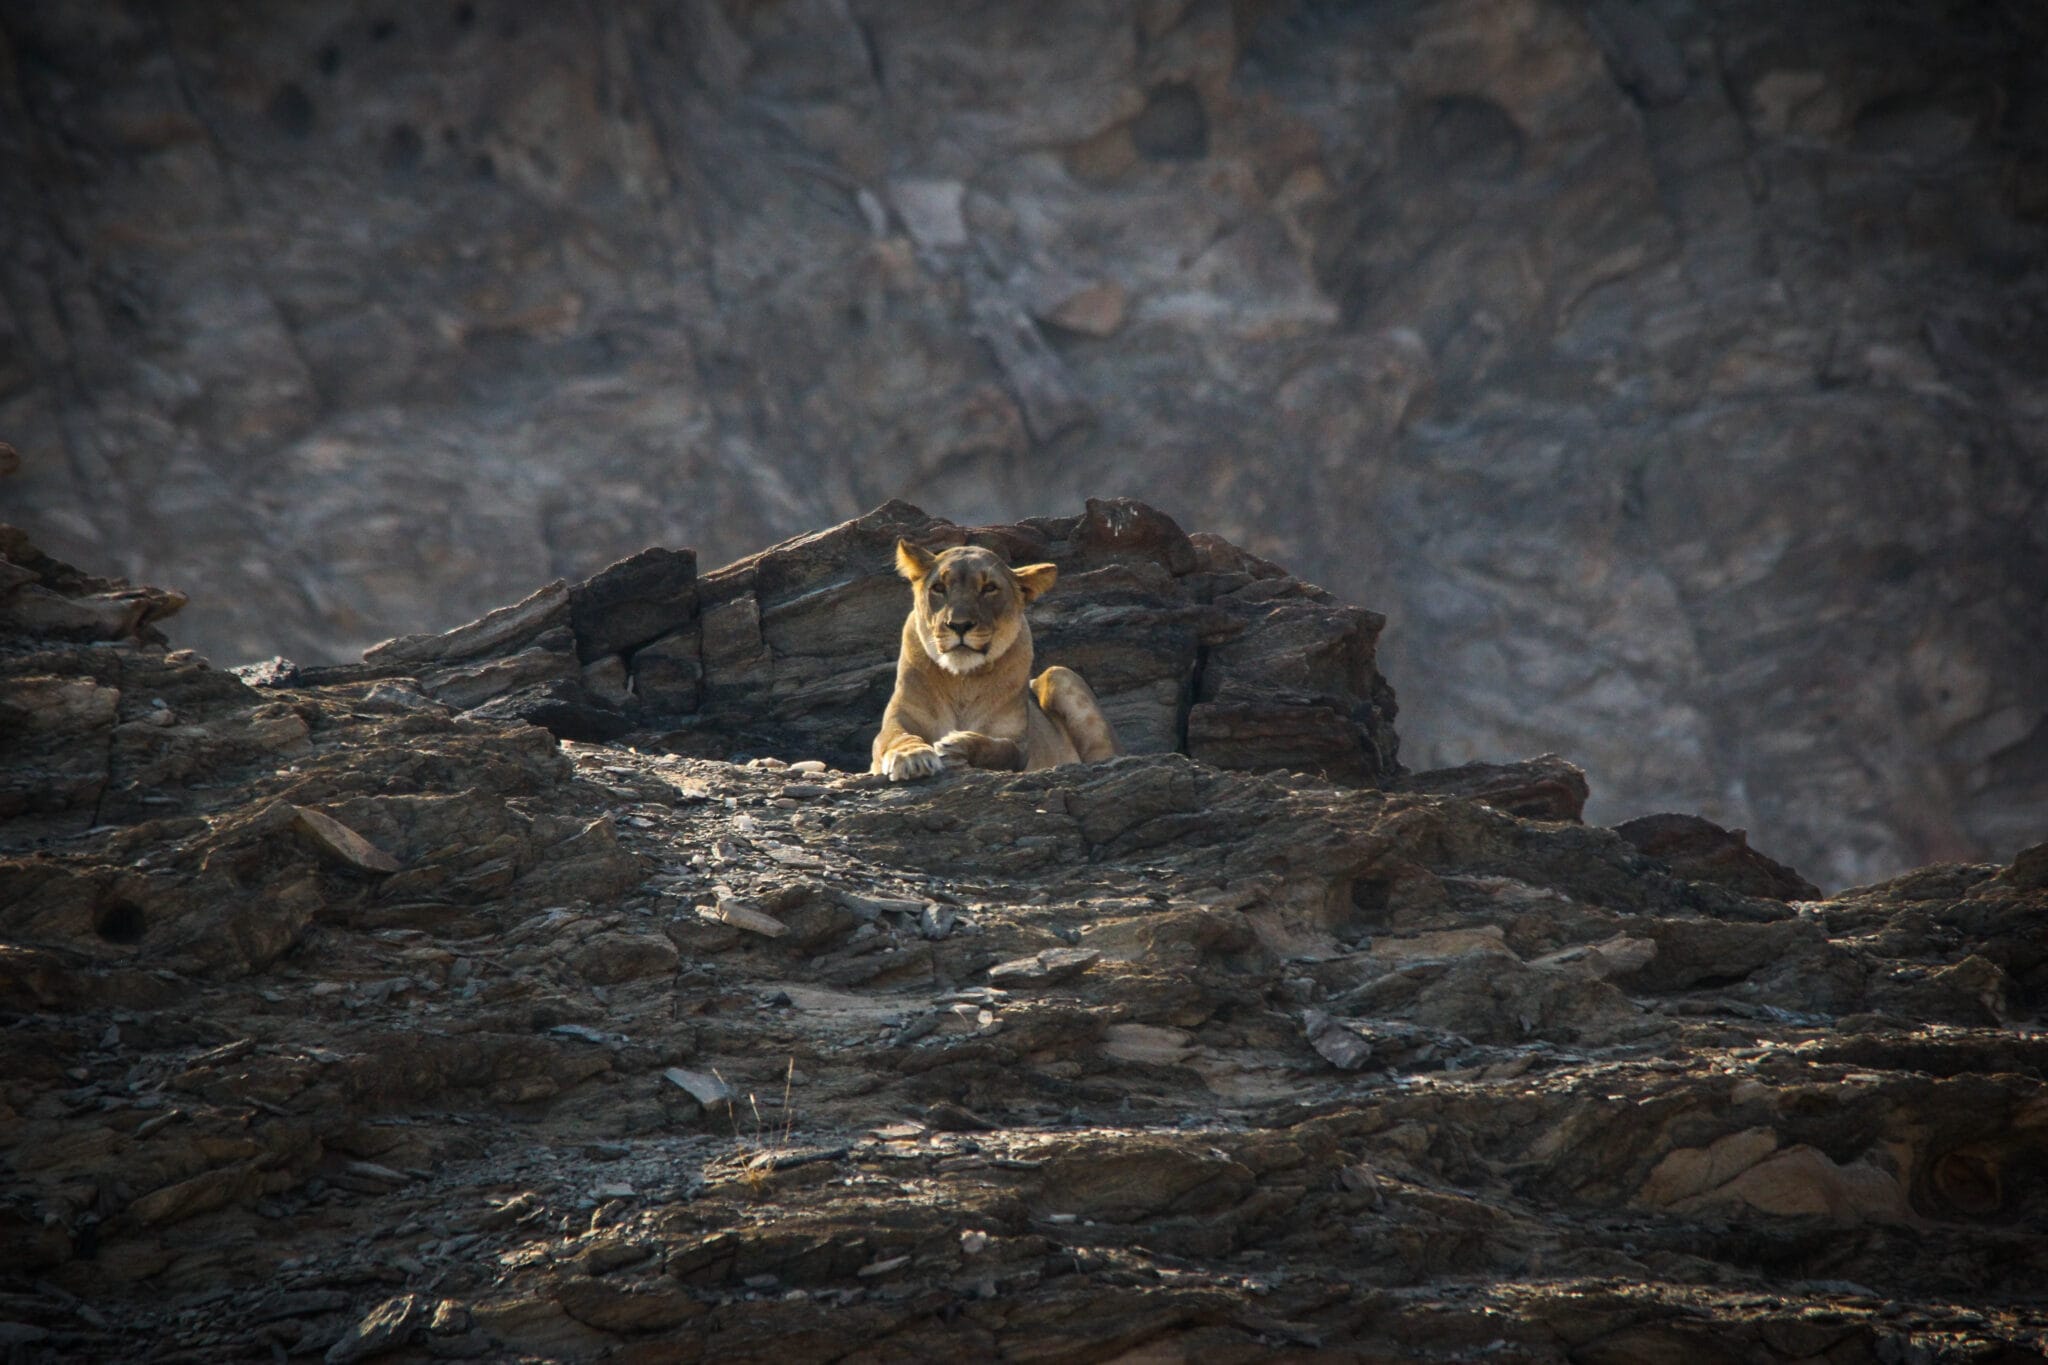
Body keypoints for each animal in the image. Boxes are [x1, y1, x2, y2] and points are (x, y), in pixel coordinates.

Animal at [870, 540, 1120, 781]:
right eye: (939, 588)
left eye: (989, 588)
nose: (959, 625)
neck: (961, 681)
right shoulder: (899, 719)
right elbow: (895, 737)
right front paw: (912, 757)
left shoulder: (1019, 745)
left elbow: (1001, 750)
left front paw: (957, 745)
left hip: (1060, 674)